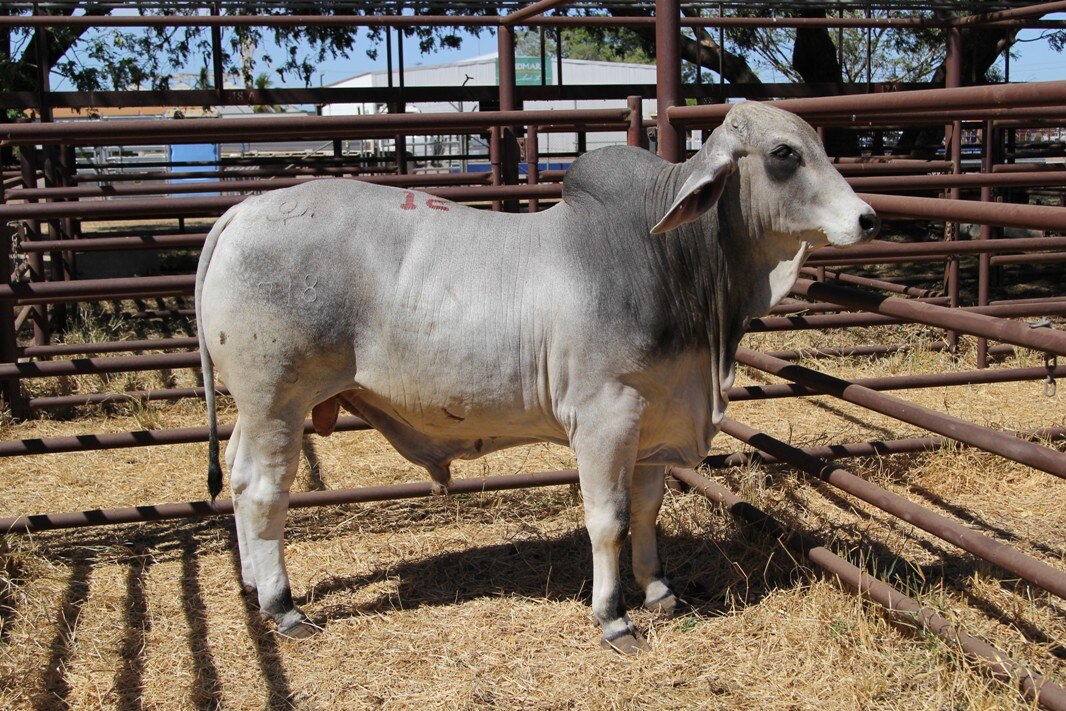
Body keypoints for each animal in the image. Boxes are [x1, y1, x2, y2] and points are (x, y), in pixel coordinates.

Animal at [195, 101, 879, 653]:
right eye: (785, 153)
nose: (868, 219)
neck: (670, 261)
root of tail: (244, 210)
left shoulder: (655, 419)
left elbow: (648, 510)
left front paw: (658, 590)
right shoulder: (605, 417)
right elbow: (609, 519)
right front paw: (614, 617)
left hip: (254, 410)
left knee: (237, 474)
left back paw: (253, 583)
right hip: (277, 400)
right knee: (264, 490)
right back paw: (283, 606)